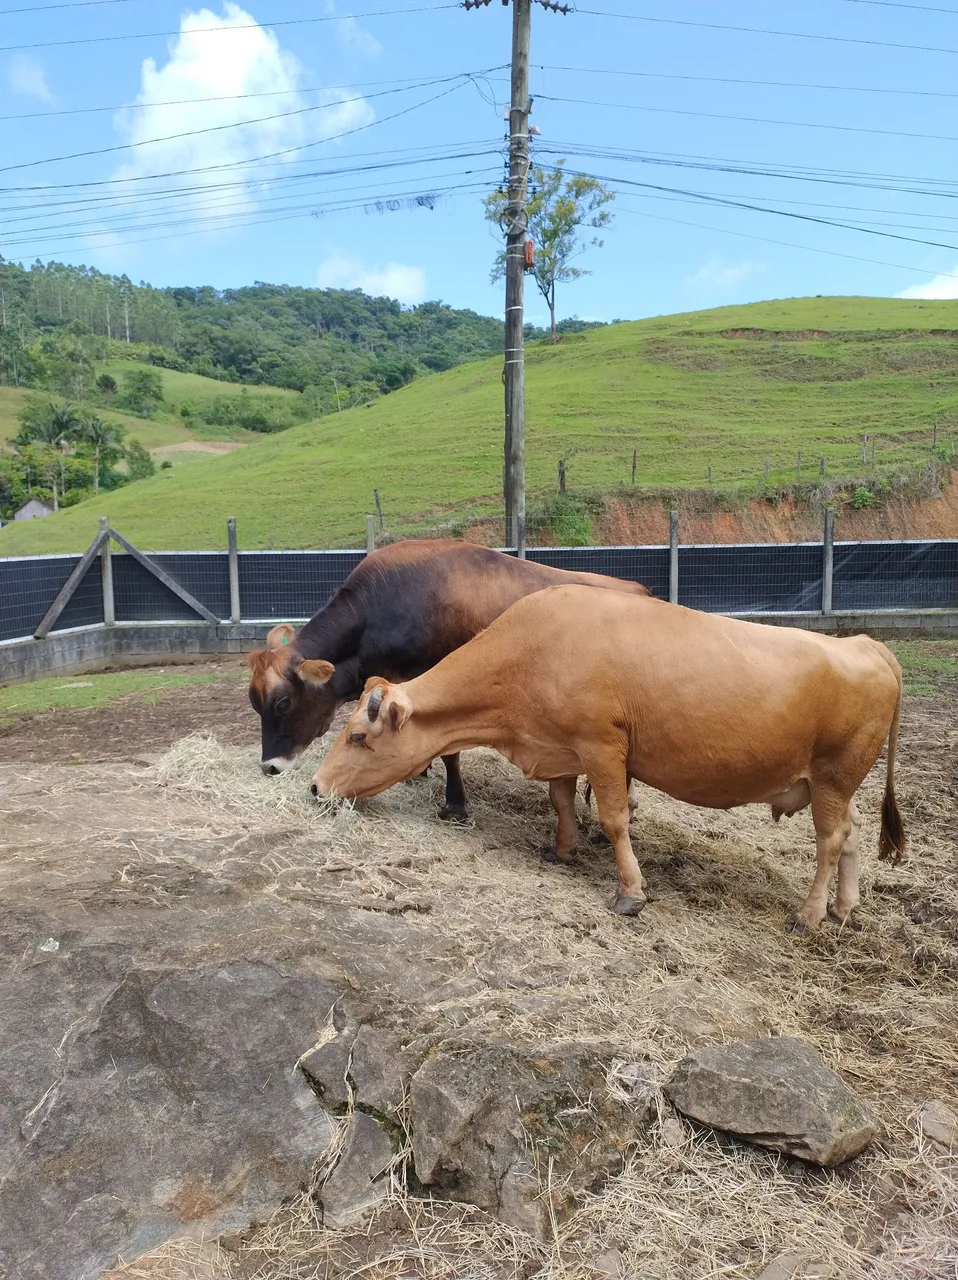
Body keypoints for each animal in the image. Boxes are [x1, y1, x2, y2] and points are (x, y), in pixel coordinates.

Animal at [248, 540, 650, 819]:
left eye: (283, 702)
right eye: (255, 703)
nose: (269, 767)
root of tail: (639, 588)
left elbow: (450, 752)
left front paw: (455, 804)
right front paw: (419, 771)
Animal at [312, 585, 905, 933]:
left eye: (358, 736)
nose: (315, 787)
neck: (531, 651)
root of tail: (865, 643)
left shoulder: (602, 745)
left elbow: (616, 819)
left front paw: (630, 892)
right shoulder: (561, 746)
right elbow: (559, 800)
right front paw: (561, 848)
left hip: (833, 774)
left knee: (829, 840)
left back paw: (810, 913)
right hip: (837, 782)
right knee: (851, 832)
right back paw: (845, 906)